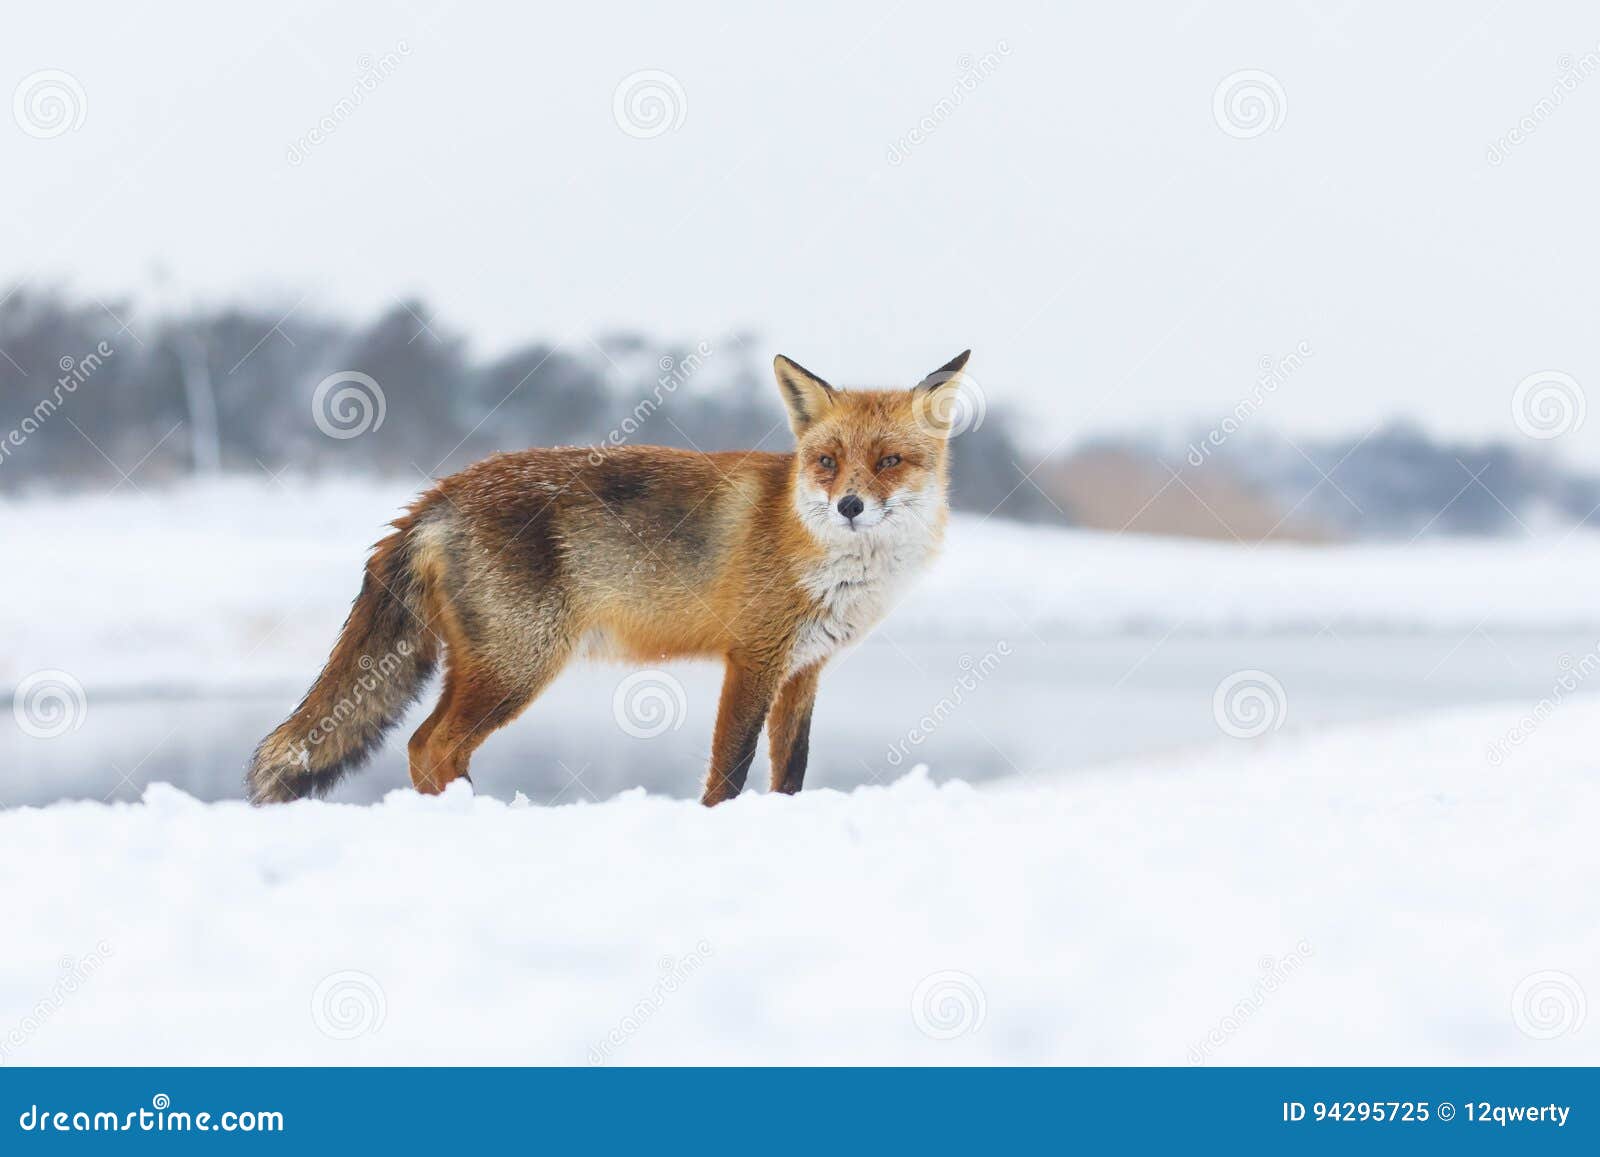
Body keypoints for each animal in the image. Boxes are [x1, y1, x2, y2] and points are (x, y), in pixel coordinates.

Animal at [246, 349, 972, 807]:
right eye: (826, 461)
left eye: (889, 461)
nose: (849, 506)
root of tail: (439, 492)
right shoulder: (753, 658)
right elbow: (729, 772)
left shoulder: (804, 669)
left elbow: (789, 771)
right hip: (519, 665)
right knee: (431, 745)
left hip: (488, 665)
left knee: (429, 746)